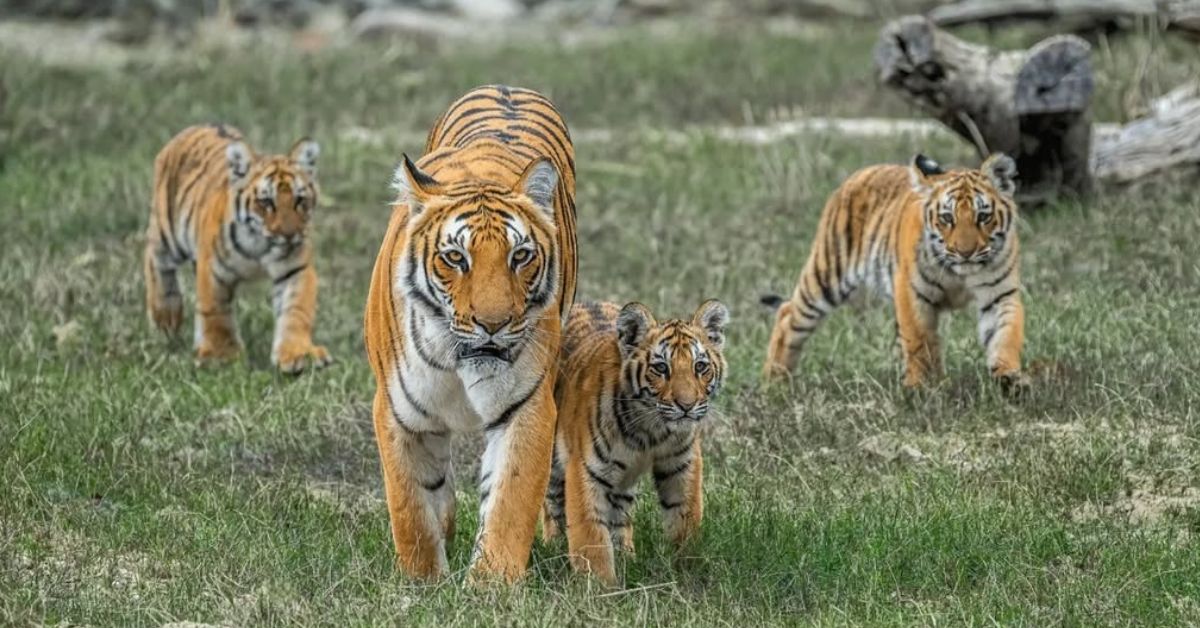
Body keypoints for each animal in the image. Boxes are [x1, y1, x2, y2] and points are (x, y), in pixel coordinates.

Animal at [143, 124, 332, 373]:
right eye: (266, 202)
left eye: (299, 200)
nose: (289, 234)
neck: (261, 245)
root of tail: (198, 127)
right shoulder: (212, 269)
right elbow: (215, 311)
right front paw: (221, 355)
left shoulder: (295, 270)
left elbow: (296, 310)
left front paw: (298, 355)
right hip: (168, 233)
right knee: (154, 258)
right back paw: (166, 317)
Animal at [362, 85, 578, 583]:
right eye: (455, 257)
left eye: (521, 255)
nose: (493, 324)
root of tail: (507, 86)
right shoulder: (396, 410)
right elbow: (411, 507)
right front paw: (423, 581)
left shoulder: (527, 406)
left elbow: (509, 502)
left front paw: (491, 585)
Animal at [541, 299, 728, 585]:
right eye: (661, 368)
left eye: (700, 367)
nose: (686, 406)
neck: (651, 430)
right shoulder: (585, 469)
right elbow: (590, 534)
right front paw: (599, 586)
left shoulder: (681, 463)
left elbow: (686, 515)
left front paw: (687, 569)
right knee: (551, 503)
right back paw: (552, 545)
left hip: (623, 481)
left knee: (619, 515)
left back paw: (627, 555)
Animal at [763, 153, 1026, 389]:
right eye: (947, 218)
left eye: (983, 216)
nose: (966, 252)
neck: (959, 273)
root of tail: (860, 173)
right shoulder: (911, 292)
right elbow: (918, 341)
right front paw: (919, 388)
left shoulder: (999, 294)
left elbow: (1005, 335)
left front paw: (1009, 378)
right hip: (827, 276)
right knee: (788, 314)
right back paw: (774, 382)